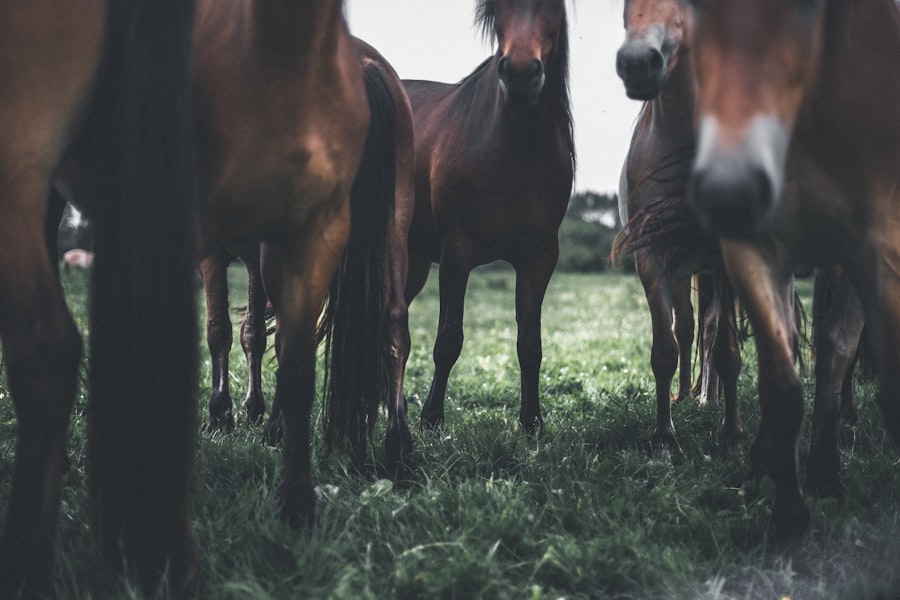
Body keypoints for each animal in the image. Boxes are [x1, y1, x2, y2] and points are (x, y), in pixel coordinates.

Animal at [398, 0, 575, 437]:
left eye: (552, 6)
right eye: (498, 8)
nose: (521, 73)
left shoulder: (538, 258)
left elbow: (530, 344)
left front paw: (531, 423)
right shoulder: (457, 255)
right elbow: (448, 340)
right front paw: (432, 419)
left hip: (411, 263)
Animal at [613, 0, 743, 453]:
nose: (638, 64)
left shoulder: (725, 257)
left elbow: (726, 349)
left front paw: (731, 434)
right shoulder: (653, 259)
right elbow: (665, 349)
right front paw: (665, 437)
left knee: (710, 329)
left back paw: (710, 399)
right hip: (682, 270)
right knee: (686, 329)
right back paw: (687, 395)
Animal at [686, 0, 900, 547]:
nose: (731, 191)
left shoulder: (872, 252)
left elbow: (849, 358)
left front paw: (821, 475)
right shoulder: (753, 252)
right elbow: (781, 383)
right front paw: (788, 516)